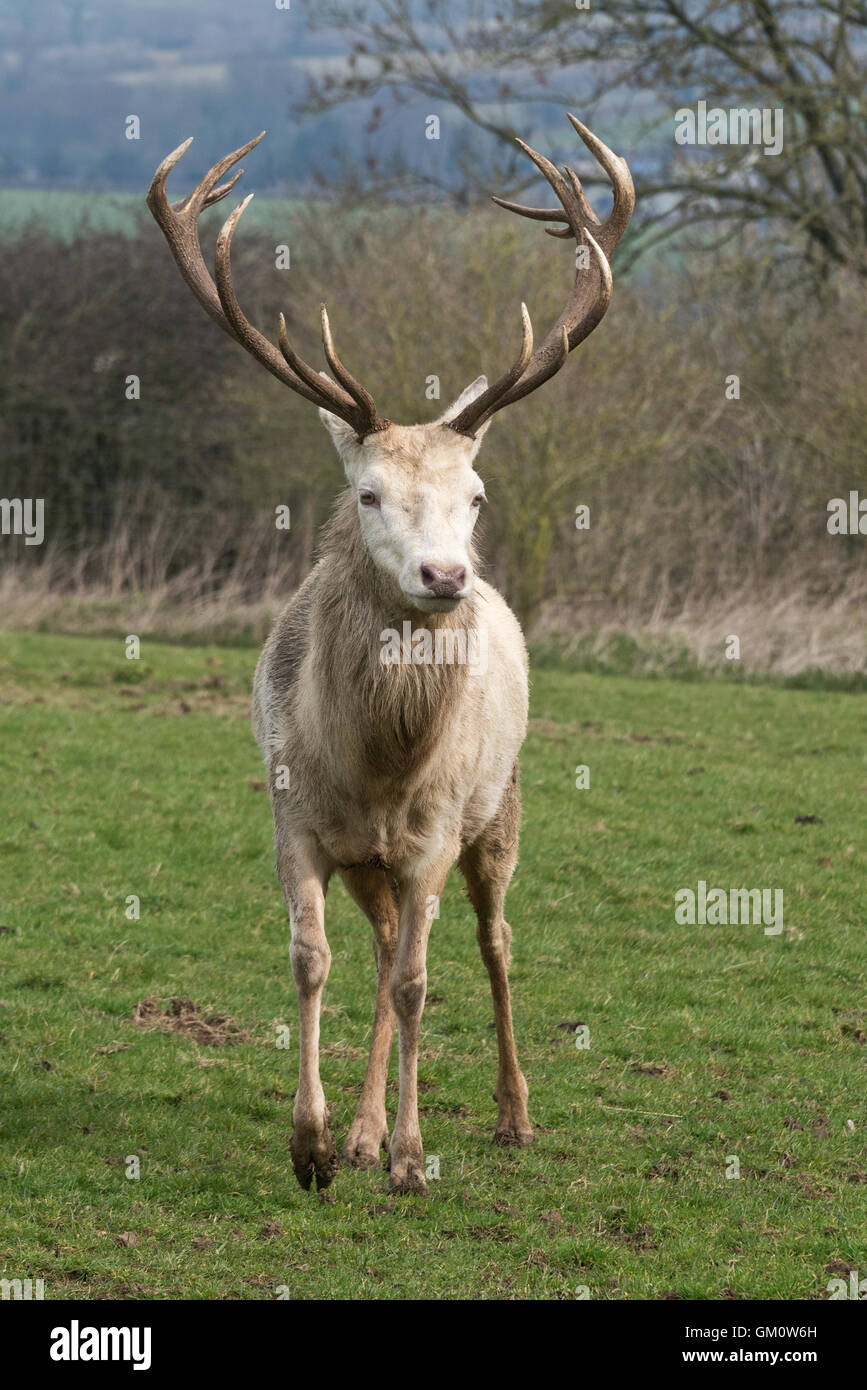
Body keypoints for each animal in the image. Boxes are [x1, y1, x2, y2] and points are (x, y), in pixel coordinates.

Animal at [147, 114, 633, 1195]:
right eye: (369, 492)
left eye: (478, 496)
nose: (445, 575)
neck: (374, 766)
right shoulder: (293, 815)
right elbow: (312, 961)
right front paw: (317, 1144)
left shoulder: (431, 834)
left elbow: (418, 982)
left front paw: (412, 1160)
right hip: (373, 859)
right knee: (372, 948)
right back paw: (366, 1130)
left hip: (500, 809)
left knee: (492, 941)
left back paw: (511, 1115)